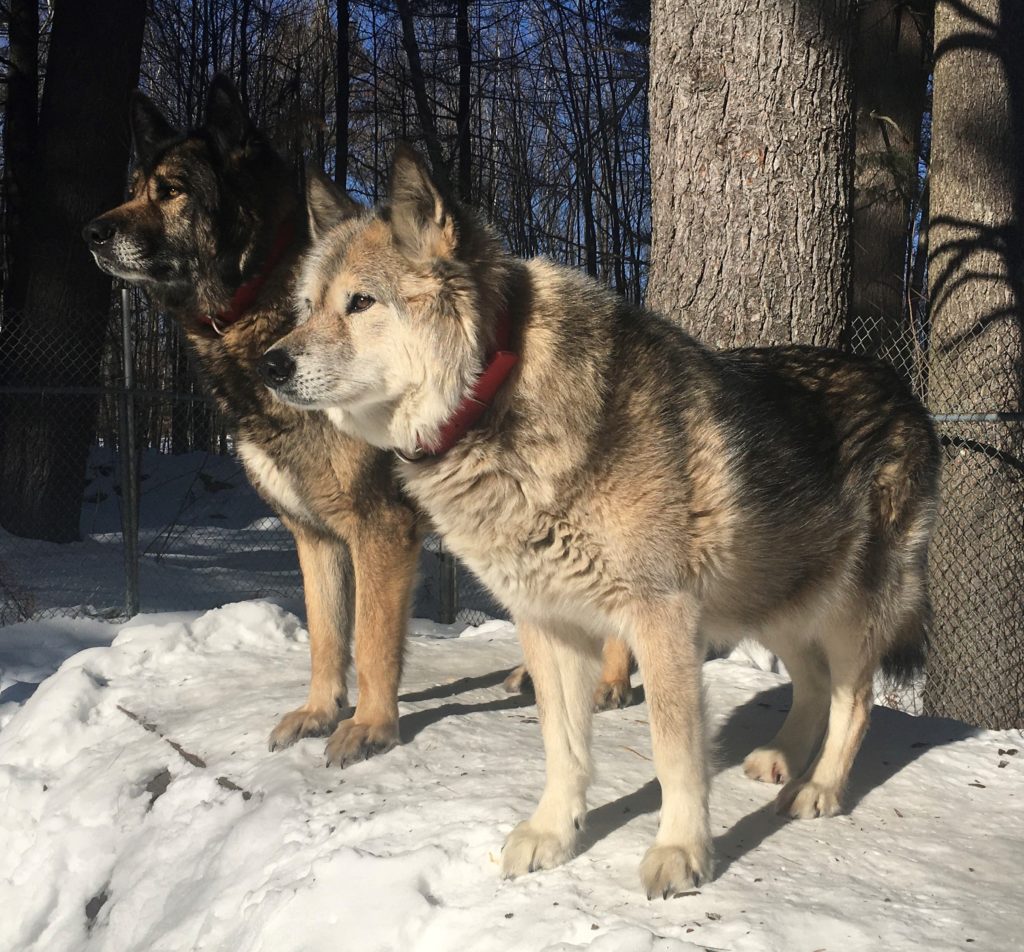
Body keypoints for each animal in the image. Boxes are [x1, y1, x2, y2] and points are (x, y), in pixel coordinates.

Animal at [82, 78, 425, 767]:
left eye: (171, 190)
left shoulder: (381, 527)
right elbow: (327, 635)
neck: (264, 300)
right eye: (133, 187)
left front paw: (372, 727)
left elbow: (374, 642)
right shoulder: (315, 536)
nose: (91, 232)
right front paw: (320, 712)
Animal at [259, 146, 940, 897]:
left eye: (360, 302)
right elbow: (562, 745)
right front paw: (553, 835)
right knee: (815, 684)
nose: (269, 364)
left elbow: (675, 754)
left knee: (856, 700)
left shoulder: (661, 617)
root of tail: (907, 392)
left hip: (843, 614)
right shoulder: (549, 623)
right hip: (774, 602)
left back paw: (819, 789)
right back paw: (780, 760)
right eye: (305, 308)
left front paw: (681, 853)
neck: (495, 399)